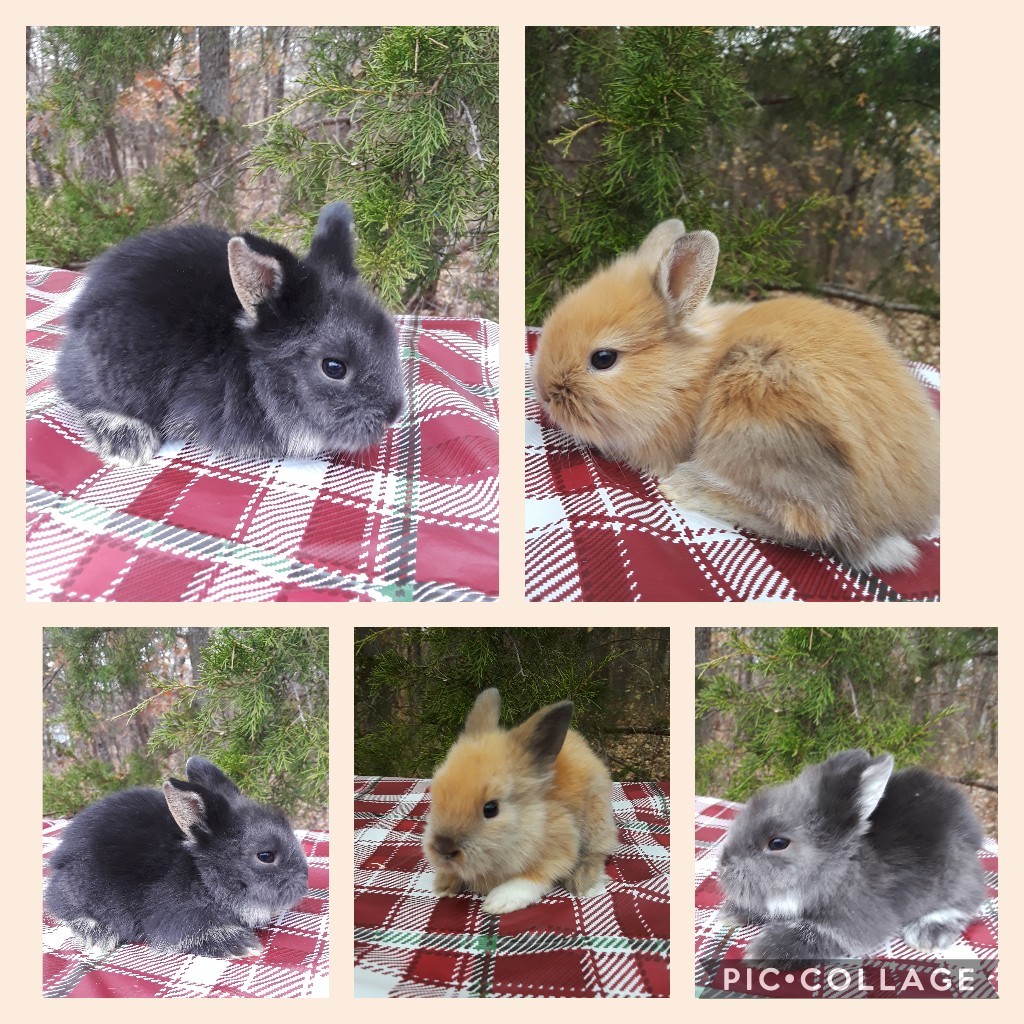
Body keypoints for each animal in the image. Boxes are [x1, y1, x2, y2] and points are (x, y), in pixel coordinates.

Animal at [44, 757, 309, 959]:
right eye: (266, 856)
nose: (304, 883)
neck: (202, 873)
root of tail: (61, 857)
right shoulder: (177, 915)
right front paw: (242, 945)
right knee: (62, 907)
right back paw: (100, 935)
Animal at [422, 687, 618, 914]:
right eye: (436, 793)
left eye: (491, 809)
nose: (443, 848)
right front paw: (443, 886)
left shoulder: (561, 846)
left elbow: (533, 877)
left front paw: (499, 901)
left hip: (596, 821)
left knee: (598, 852)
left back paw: (584, 883)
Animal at [533, 219, 939, 573]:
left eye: (603, 358)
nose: (545, 395)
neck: (687, 376)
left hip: (757, 422)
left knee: (809, 524)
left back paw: (689, 487)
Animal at [716, 749, 987, 961]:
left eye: (778, 843)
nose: (724, 864)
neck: (842, 866)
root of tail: (970, 828)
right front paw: (731, 913)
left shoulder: (856, 922)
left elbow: (816, 933)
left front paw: (764, 950)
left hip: (952, 881)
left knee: (967, 900)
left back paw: (926, 933)